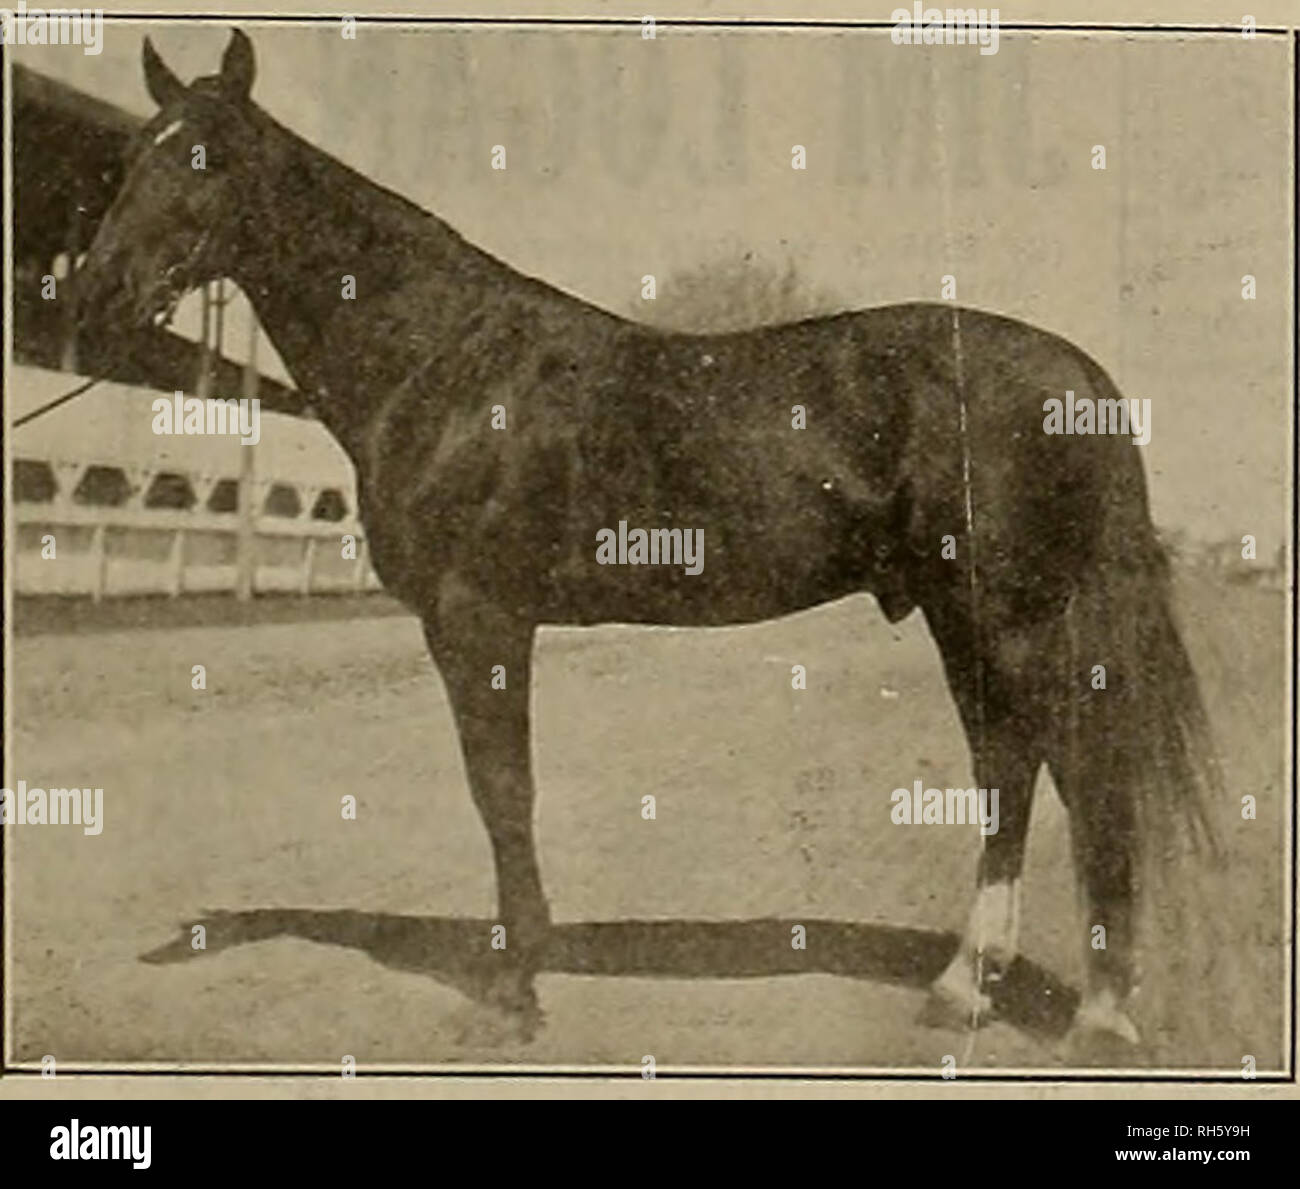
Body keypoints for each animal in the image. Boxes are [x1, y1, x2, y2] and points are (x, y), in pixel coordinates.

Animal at [73, 31, 1222, 1056]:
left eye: (206, 158)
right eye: (133, 157)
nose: (93, 295)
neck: (448, 362)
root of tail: (1078, 373)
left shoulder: (480, 617)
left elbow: (503, 793)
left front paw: (511, 995)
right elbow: (503, 793)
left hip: (1011, 615)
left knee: (1079, 776)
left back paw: (1097, 1017)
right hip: (962, 615)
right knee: (1007, 771)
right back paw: (960, 989)